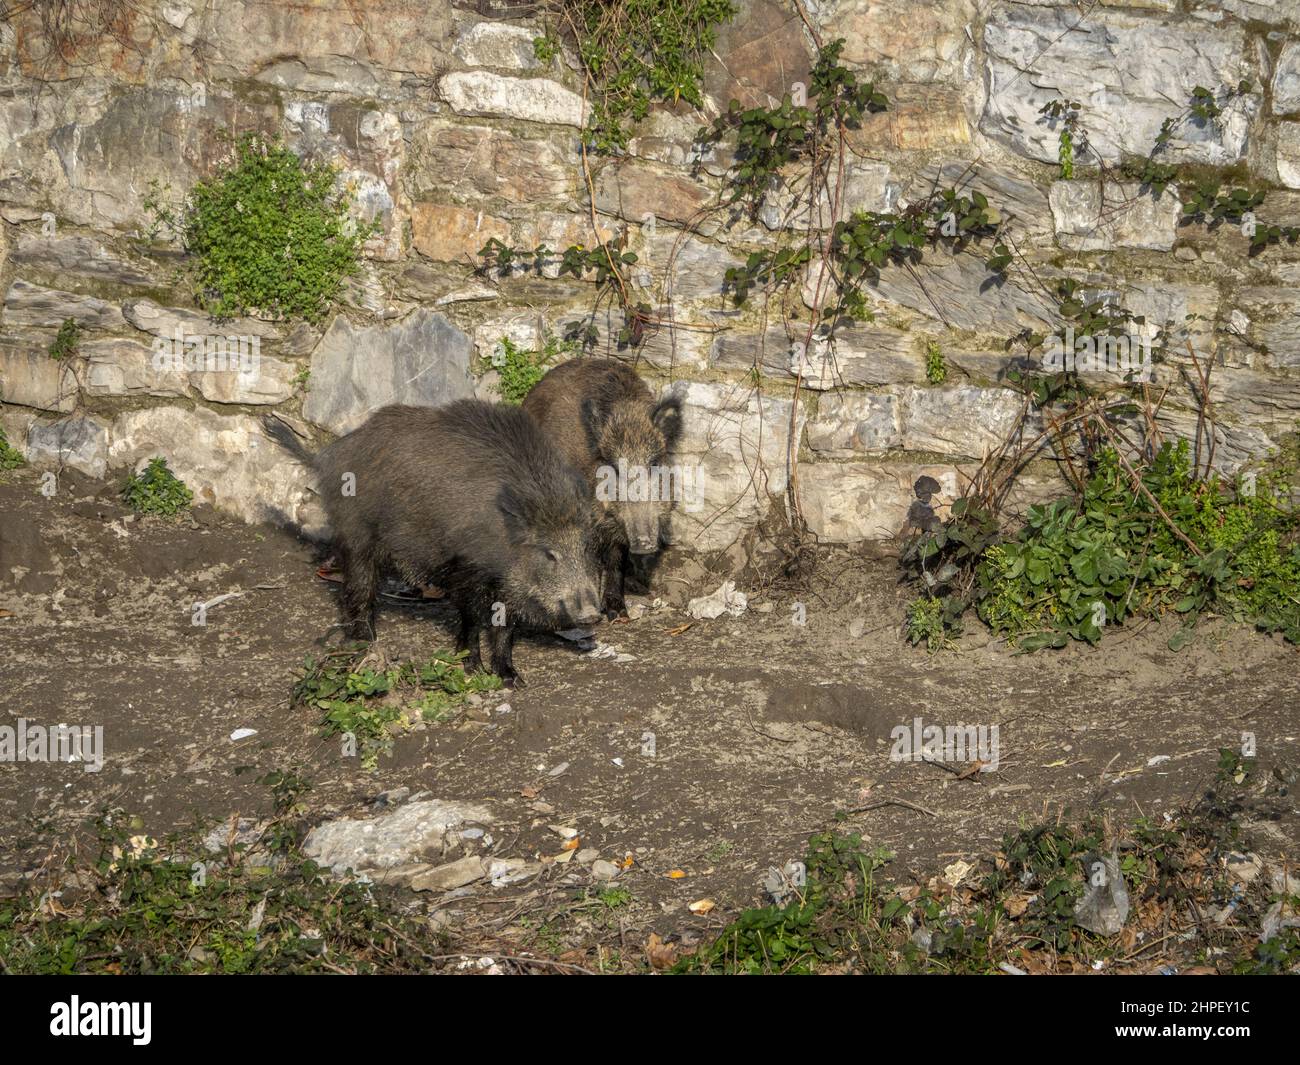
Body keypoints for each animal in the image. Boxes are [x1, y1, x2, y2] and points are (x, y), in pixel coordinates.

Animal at [262, 401, 603, 687]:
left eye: (586, 548)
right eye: (550, 554)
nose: (592, 615)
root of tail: (329, 457)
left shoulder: (504, 583)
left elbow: (504, 629)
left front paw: (513, 679)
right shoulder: (467, 570)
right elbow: (472, 620)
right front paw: (473, 669)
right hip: (356, 537)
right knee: (358, 591)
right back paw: (366, 645)